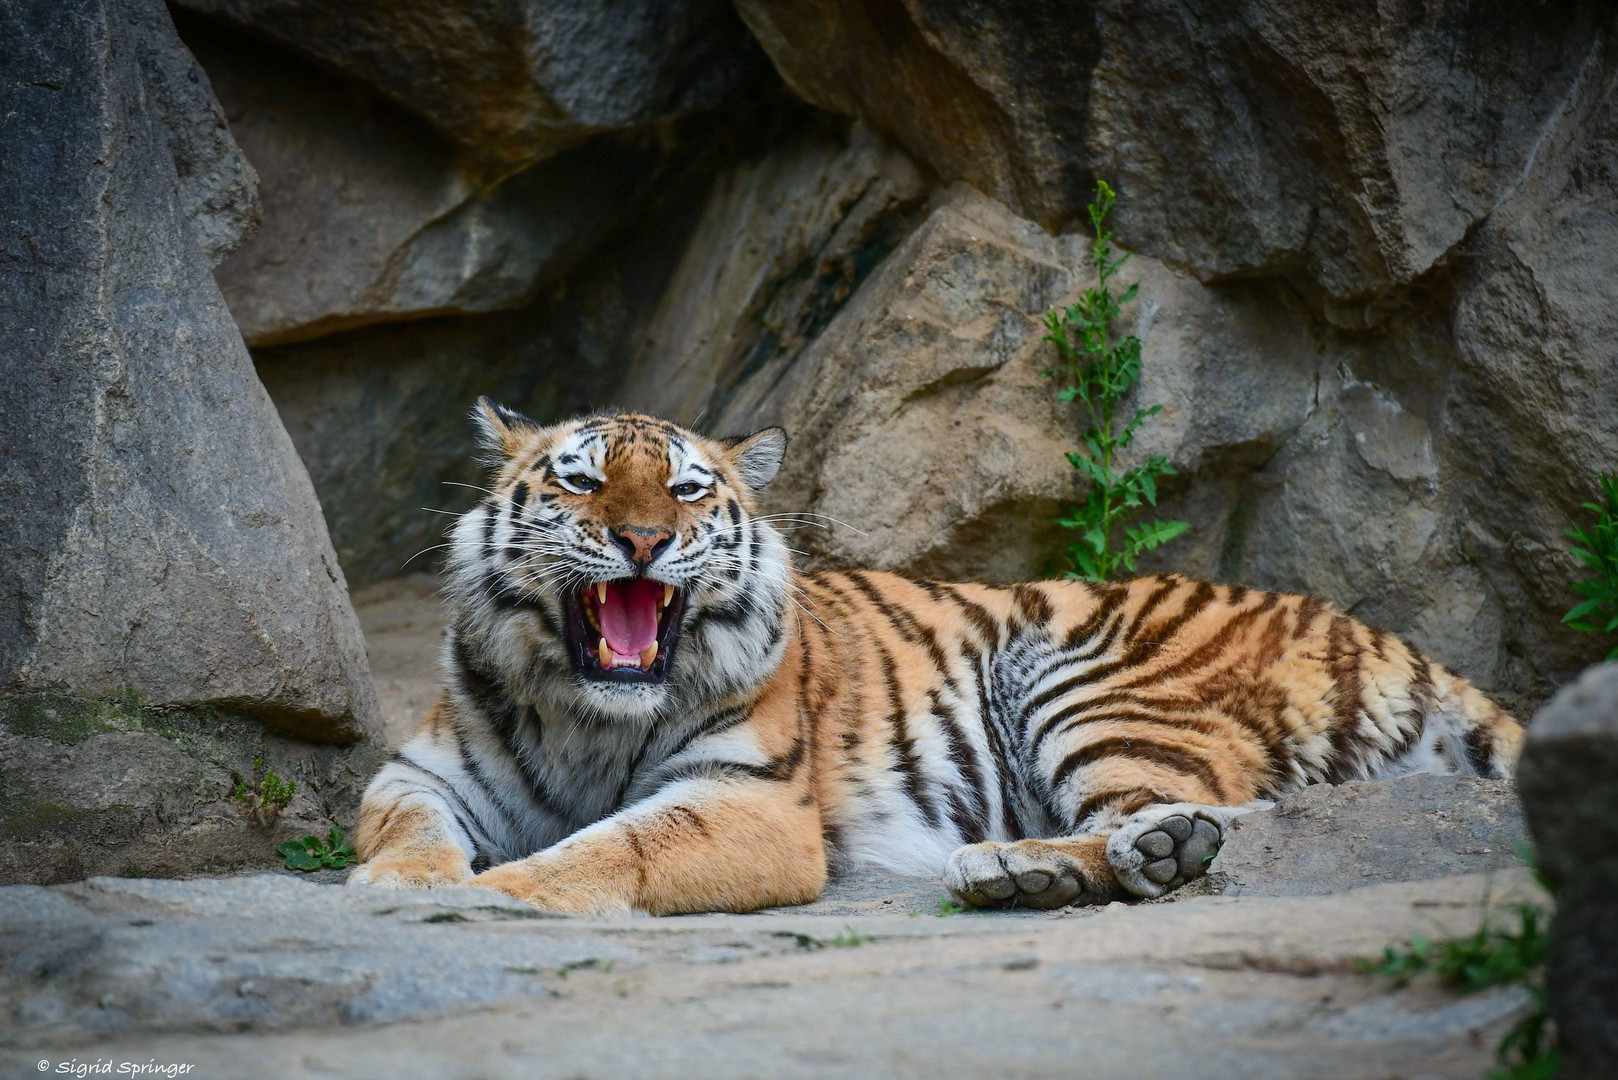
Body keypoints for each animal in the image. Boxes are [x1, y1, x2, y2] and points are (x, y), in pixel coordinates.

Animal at [347, 400, 1524, 914]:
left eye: (683, 490)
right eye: (583, 482)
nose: (642, 541)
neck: (596, 715)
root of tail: (1363, 625)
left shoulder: (748, 803)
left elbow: (606, 851)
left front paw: (498, 895)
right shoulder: (424, 772)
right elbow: (407, 824)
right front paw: (403, 884)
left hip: (1087, 687)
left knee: (1210, 816)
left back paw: (1047, 863)